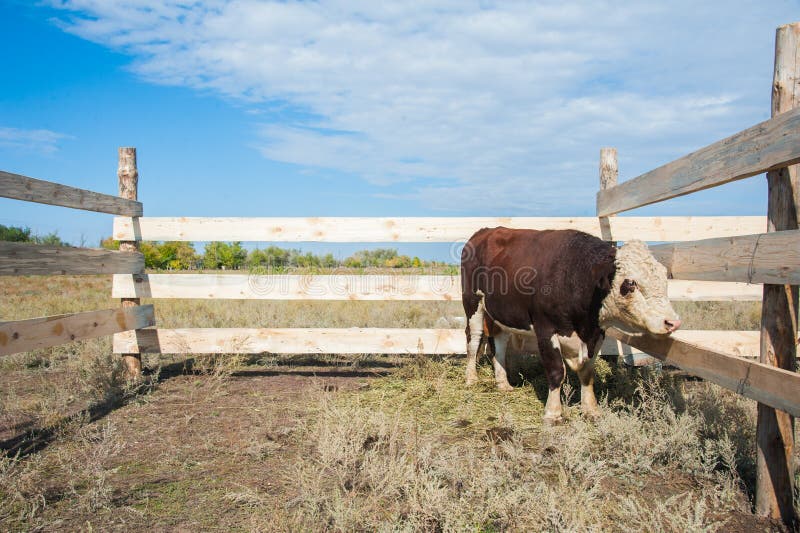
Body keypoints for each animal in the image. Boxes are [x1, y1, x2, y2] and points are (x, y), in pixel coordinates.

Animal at [461, 227, 681, 424]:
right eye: (630, 282)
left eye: (664, 278)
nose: (672, 322)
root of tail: (485, 231)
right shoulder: (545, 330)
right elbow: (556, 371)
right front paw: (553, 413)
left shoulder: (596, 334)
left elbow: (587, 373)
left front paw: (591, 410)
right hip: (472, 303)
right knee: (474, 338)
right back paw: (471, 378)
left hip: (502, 313)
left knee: (499, 341)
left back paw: (503, 383)